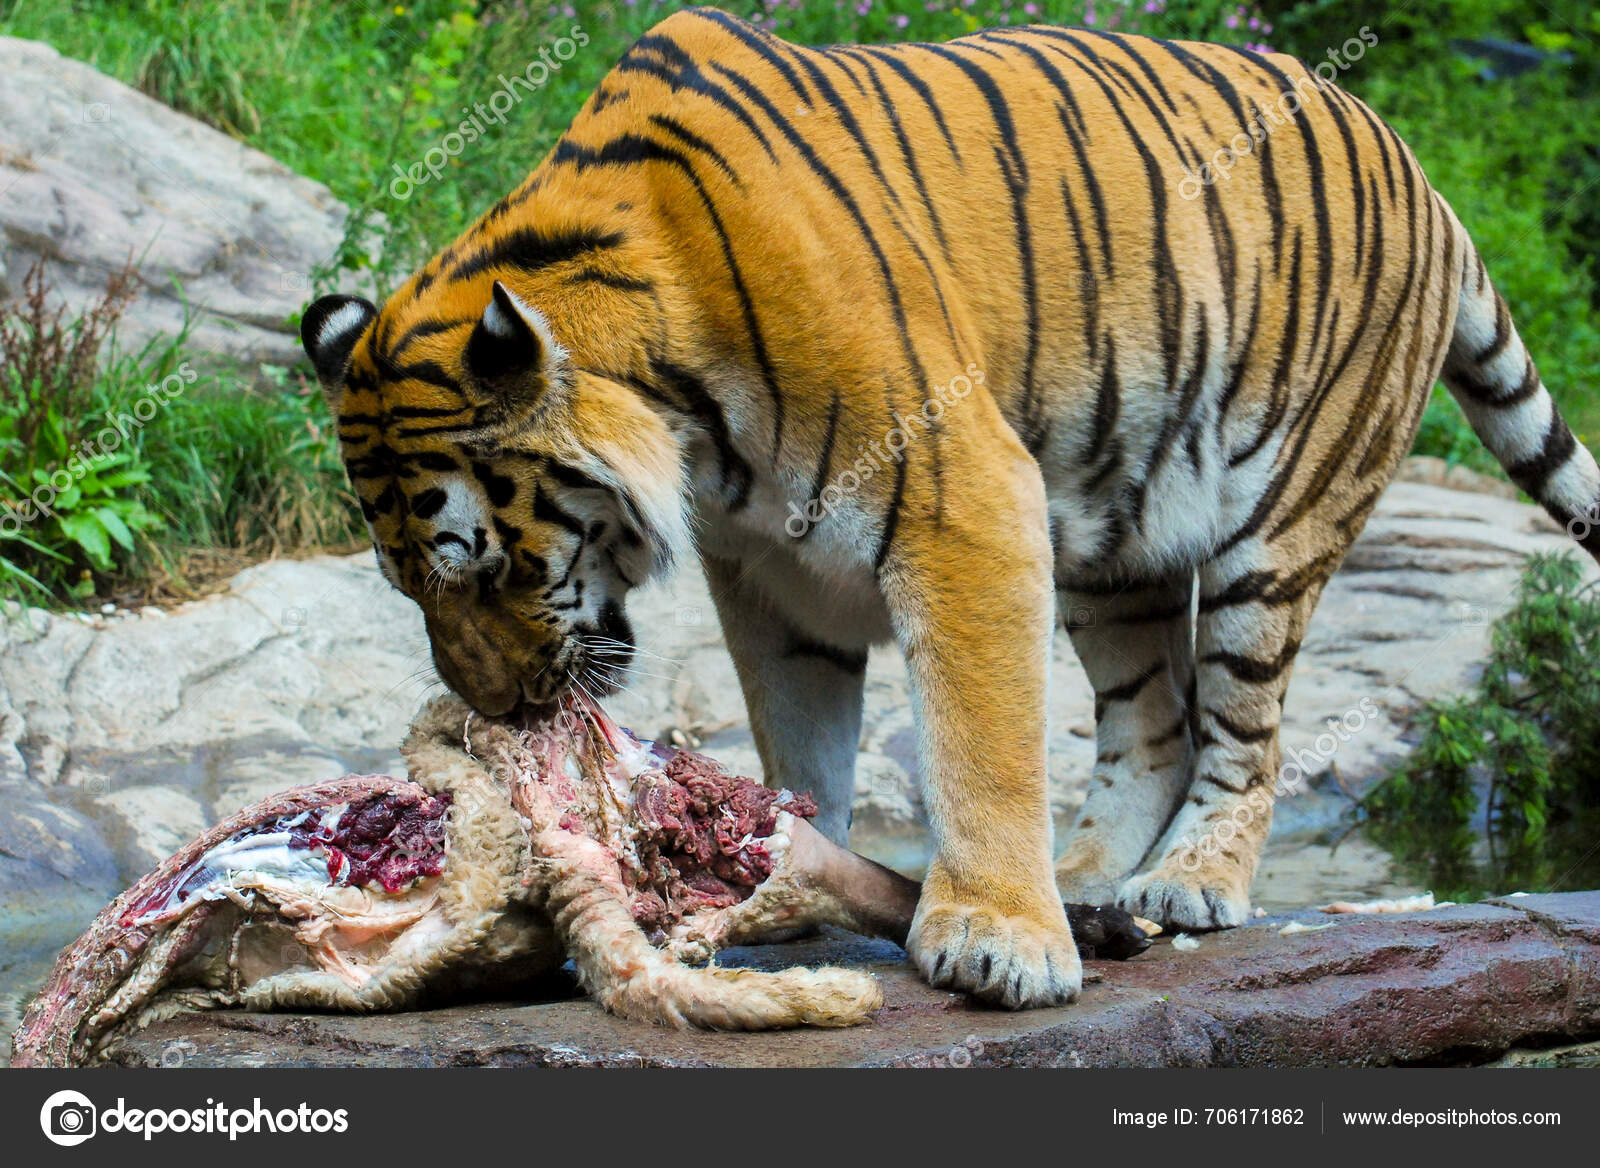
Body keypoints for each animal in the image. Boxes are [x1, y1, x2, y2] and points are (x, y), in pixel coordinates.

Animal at [301, 7, 1600, 1009]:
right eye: (406, 584)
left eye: (482, 566)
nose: (496, 711)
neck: (691, 423)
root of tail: (1425, 173)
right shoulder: (767, 570)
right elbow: (802, 730)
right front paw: (777, 871)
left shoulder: (960, 493)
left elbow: (980, 739)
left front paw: (994, 937)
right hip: (1116, 530)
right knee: (1156, 718)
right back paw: (1086, 875)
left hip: (1278, 519)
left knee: (1244, 729)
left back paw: (1191, 880)